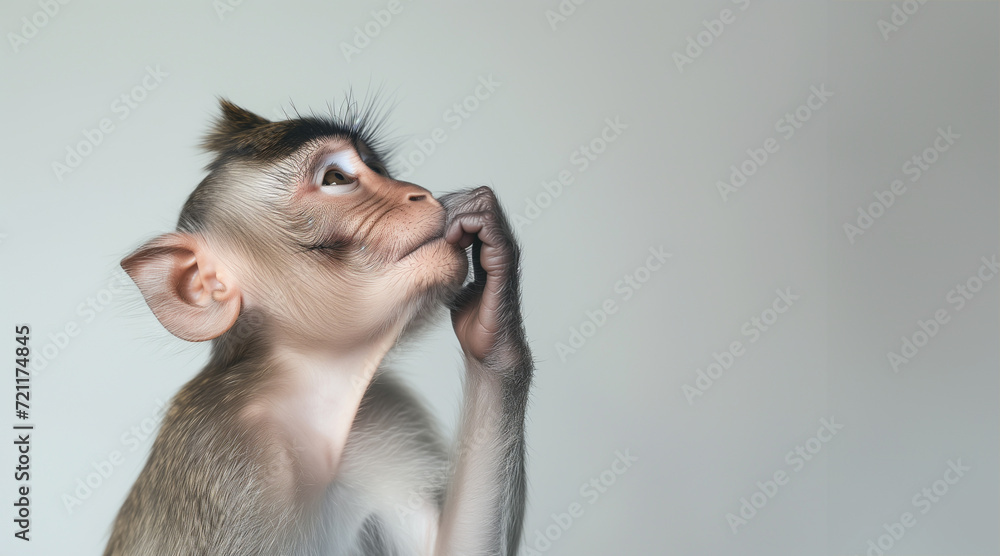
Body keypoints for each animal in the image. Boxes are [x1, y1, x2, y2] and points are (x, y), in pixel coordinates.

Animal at [105, 98, 533, 556]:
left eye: (375, 166)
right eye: (336, 179)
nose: (417, 193)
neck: (309, 388)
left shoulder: (385, 414)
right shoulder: (227, 458)